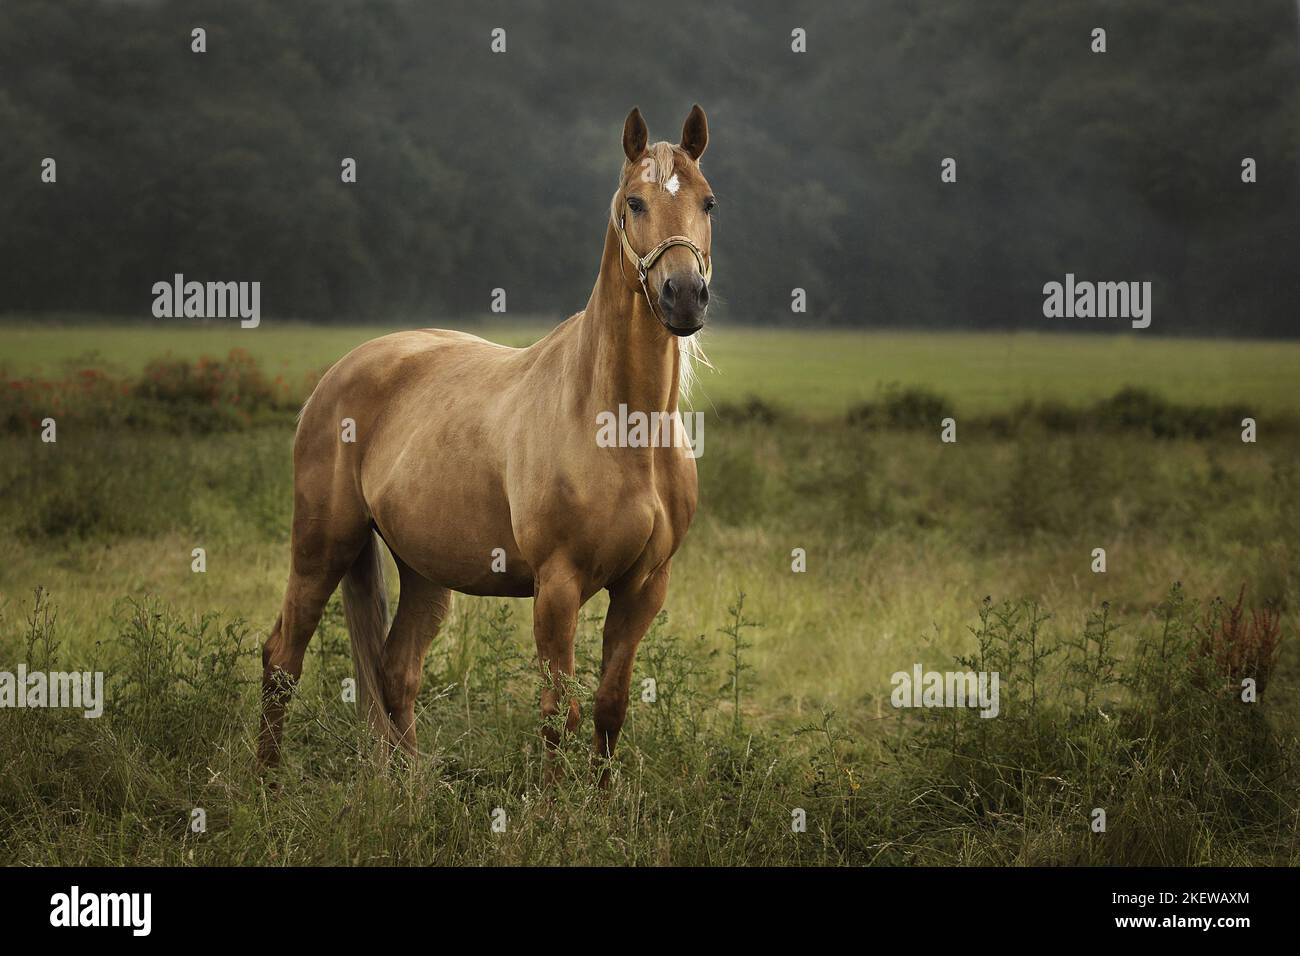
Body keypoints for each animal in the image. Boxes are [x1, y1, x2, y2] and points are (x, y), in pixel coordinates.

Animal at [257, 105, 716, 782]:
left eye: (709, 203)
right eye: (635, 202)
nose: (683, 296)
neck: (620, 429)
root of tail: (341, 373)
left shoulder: (643, 588)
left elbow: (609, 709)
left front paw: (605, 804)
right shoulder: (557, 586)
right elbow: (558, 713)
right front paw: (554, 807)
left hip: (425, 571)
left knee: (395, 673)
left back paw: (413, 791)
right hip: (322, 547)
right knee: (282, 659)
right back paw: (264, 782)